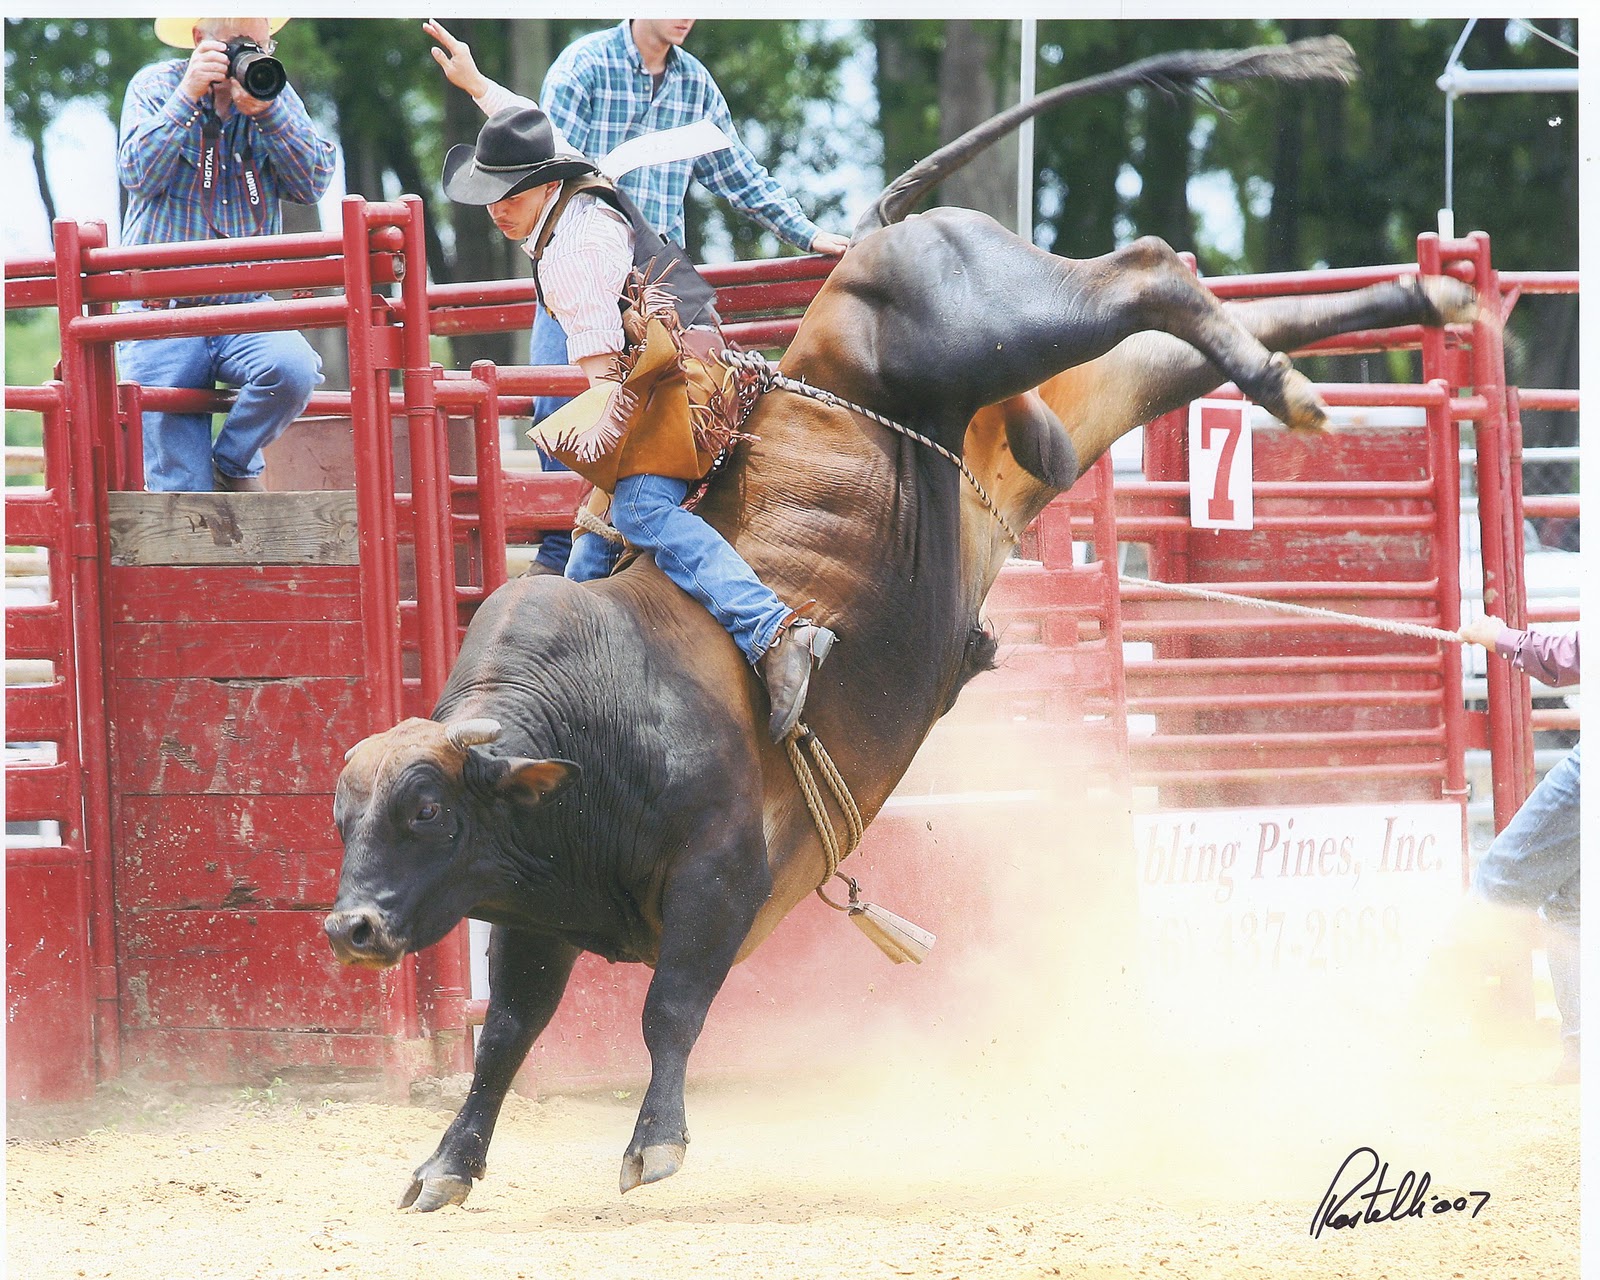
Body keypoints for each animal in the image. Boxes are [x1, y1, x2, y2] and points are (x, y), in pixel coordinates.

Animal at [326, 38, 1480, 1210]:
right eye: (343, 818)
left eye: (426, 810)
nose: (351, 926)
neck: (589, 718)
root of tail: (876, 239)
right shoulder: (533, 906)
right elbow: (507, 1032)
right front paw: (446, 1164)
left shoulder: (721, 872)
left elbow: (670, 1007)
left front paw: (655, 1141)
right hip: (1056, 406)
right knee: (1170, 331)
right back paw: (1409, 304)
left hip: (988, 324)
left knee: (1150, 266)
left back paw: (1294, 386)